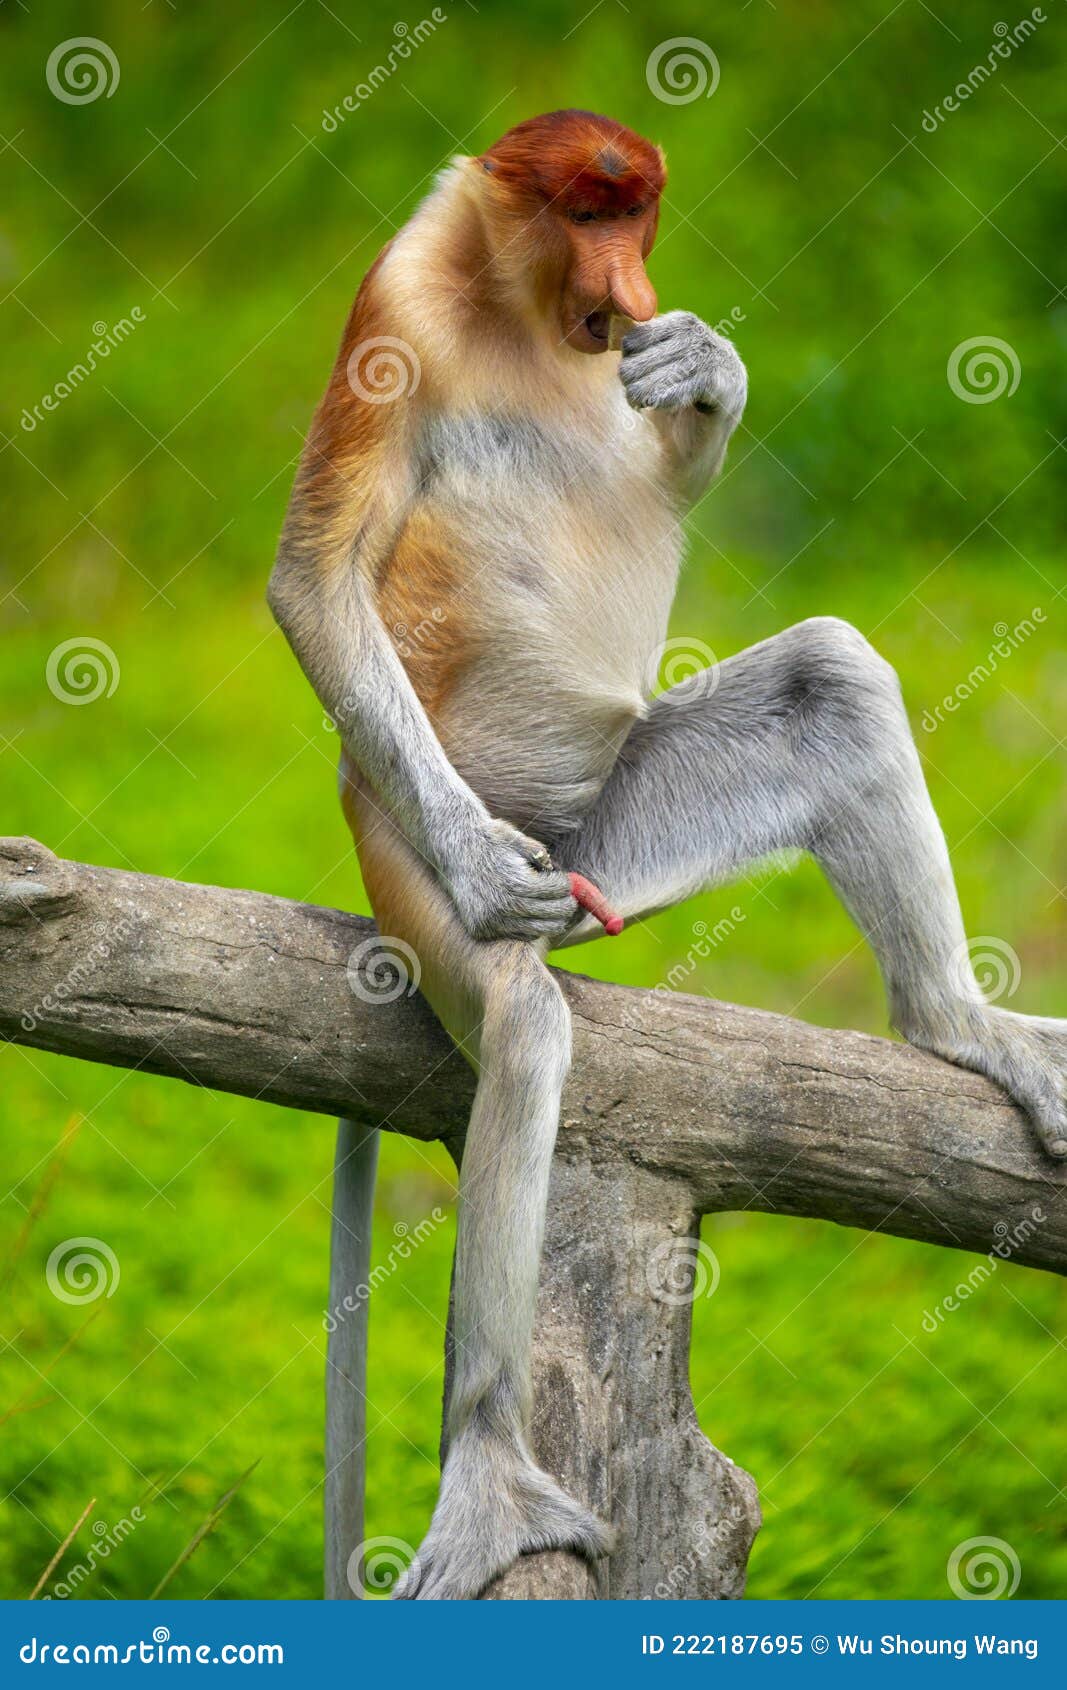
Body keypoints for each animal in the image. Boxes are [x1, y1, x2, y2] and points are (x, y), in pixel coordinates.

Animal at [269, 110, 1067, 1601]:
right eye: (587, 210)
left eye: (633, 215)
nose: (628, 285)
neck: (516, 305)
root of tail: (561, 837)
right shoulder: (393, 303)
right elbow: (312, 577)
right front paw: (482, 872)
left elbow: (667, 471)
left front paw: (703, 373)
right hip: (404, 835)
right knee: (523, 1027)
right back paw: (490, 1479)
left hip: (617, 833)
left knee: (831, 679)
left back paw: (960, 1025)